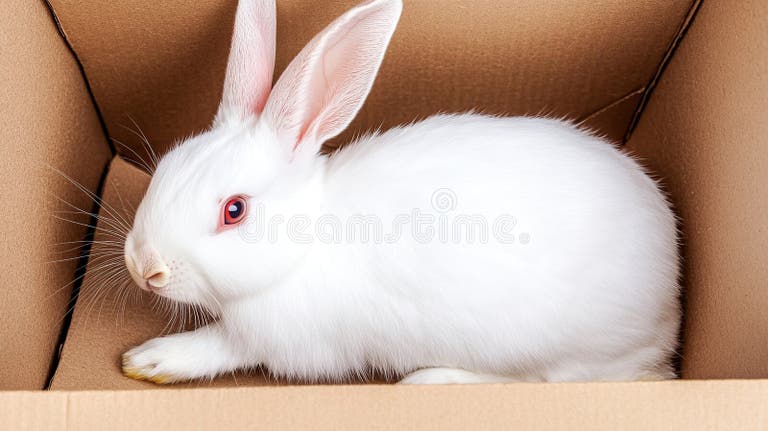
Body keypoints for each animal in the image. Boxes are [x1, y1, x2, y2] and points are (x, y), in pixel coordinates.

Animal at [121, 0, 680, 385]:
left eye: (234, 211)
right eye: (165, 166)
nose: (144, 267)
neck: (305, 245)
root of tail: (670, 308)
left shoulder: (278, 341)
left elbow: (217, 347)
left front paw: (149, 359)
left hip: (550, 352)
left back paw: (430, 380)